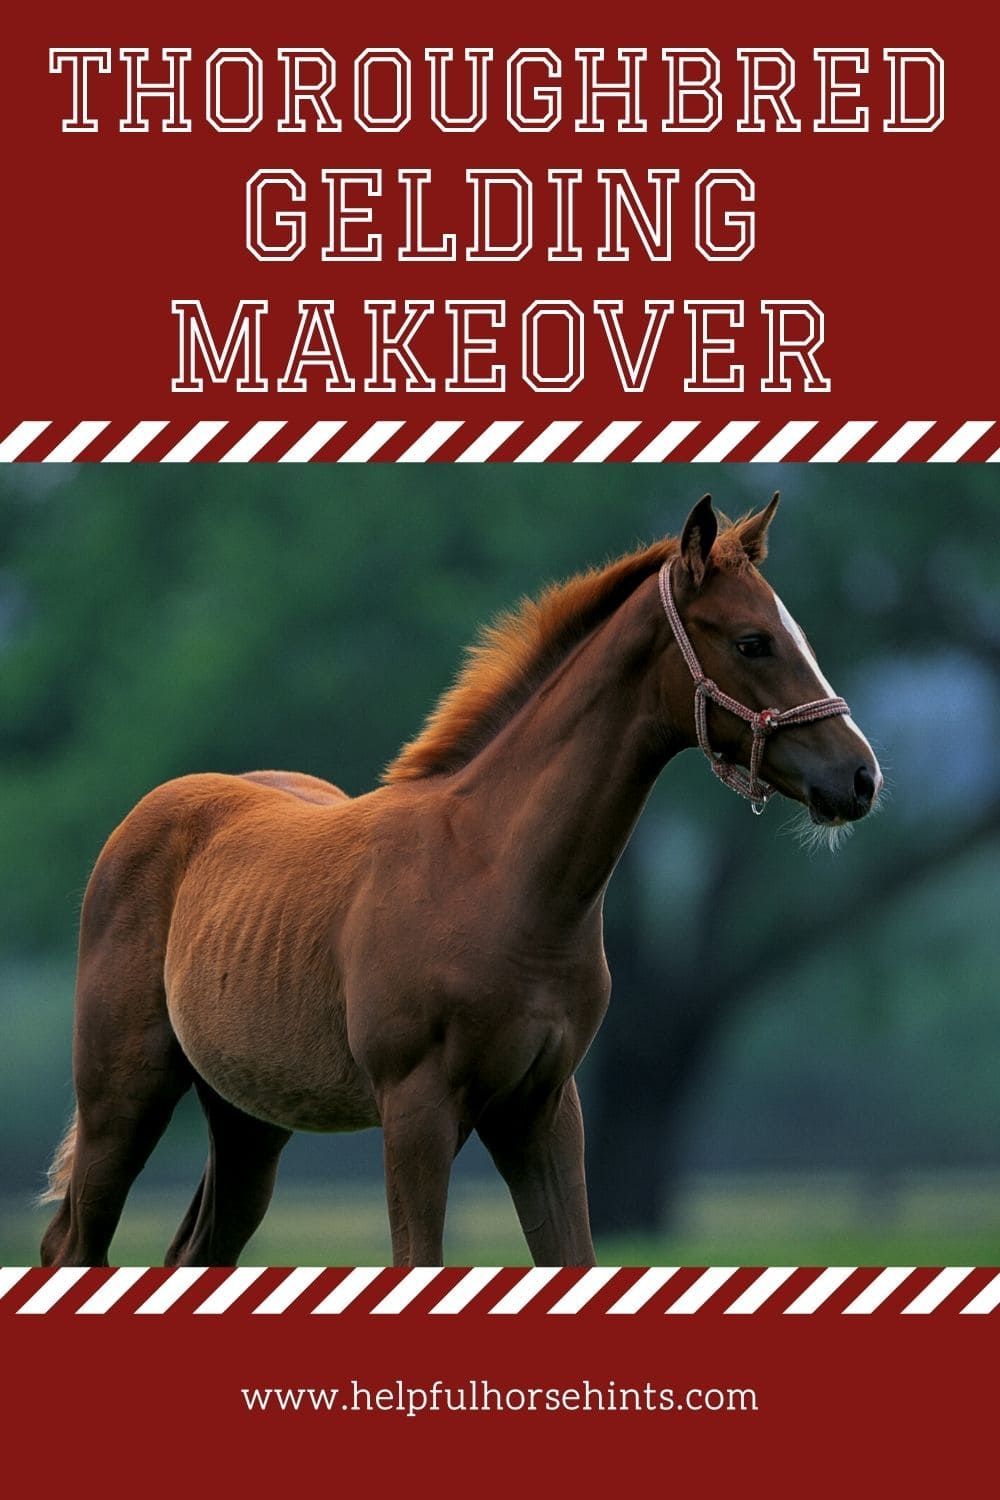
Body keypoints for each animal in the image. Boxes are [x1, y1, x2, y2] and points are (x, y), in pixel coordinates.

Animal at [39, 494, 882, 1268]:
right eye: (752, 641)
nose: (859, 777)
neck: (499, 876)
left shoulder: (543, 1108)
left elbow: (572, 1253)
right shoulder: (417, 1108)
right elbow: (418, 1254)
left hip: (250, 1117)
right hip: (122, 1097)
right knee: (74, 1245)